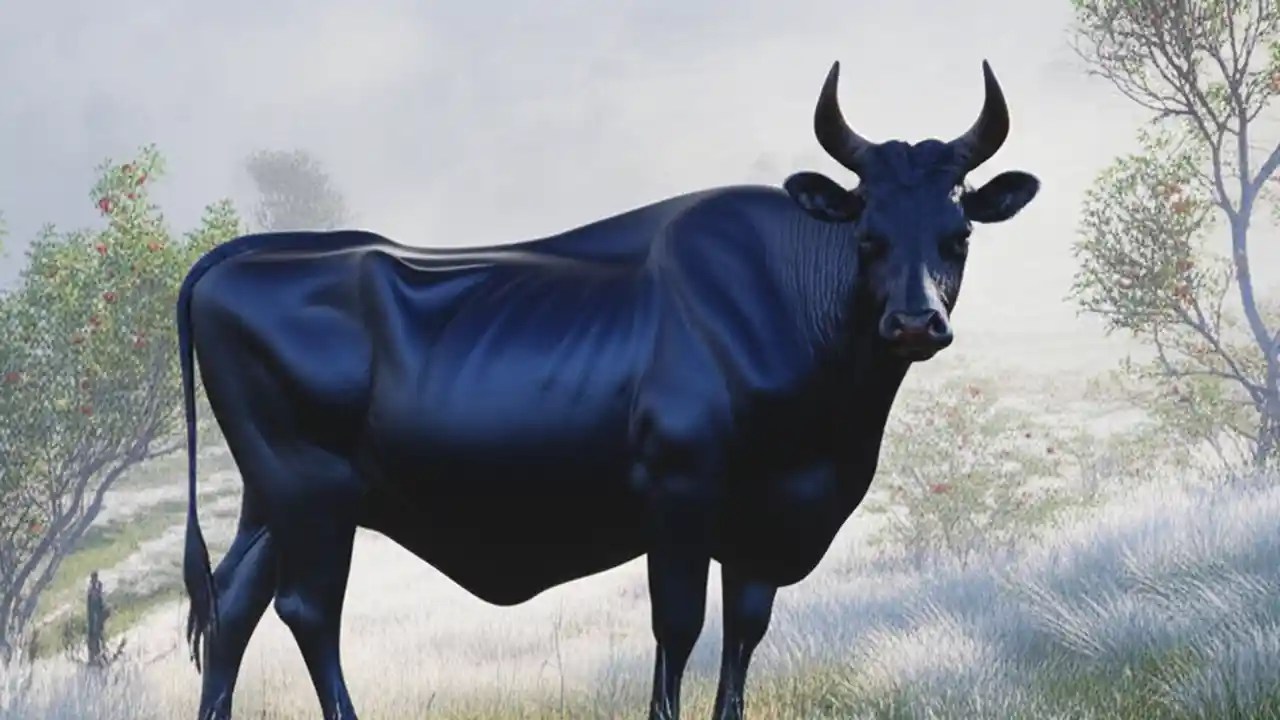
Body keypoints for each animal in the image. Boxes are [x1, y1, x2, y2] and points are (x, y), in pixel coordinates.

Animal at [177, 59, 1039, 720]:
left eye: (958, 235)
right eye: (868, 235)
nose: (916, 322)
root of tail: (251, 251)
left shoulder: (765, 522)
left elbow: (744, 633)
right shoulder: (680, 494)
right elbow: (679, 627)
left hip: (271, 499)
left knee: (233, 603)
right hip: (311, 490)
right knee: (307, 611)